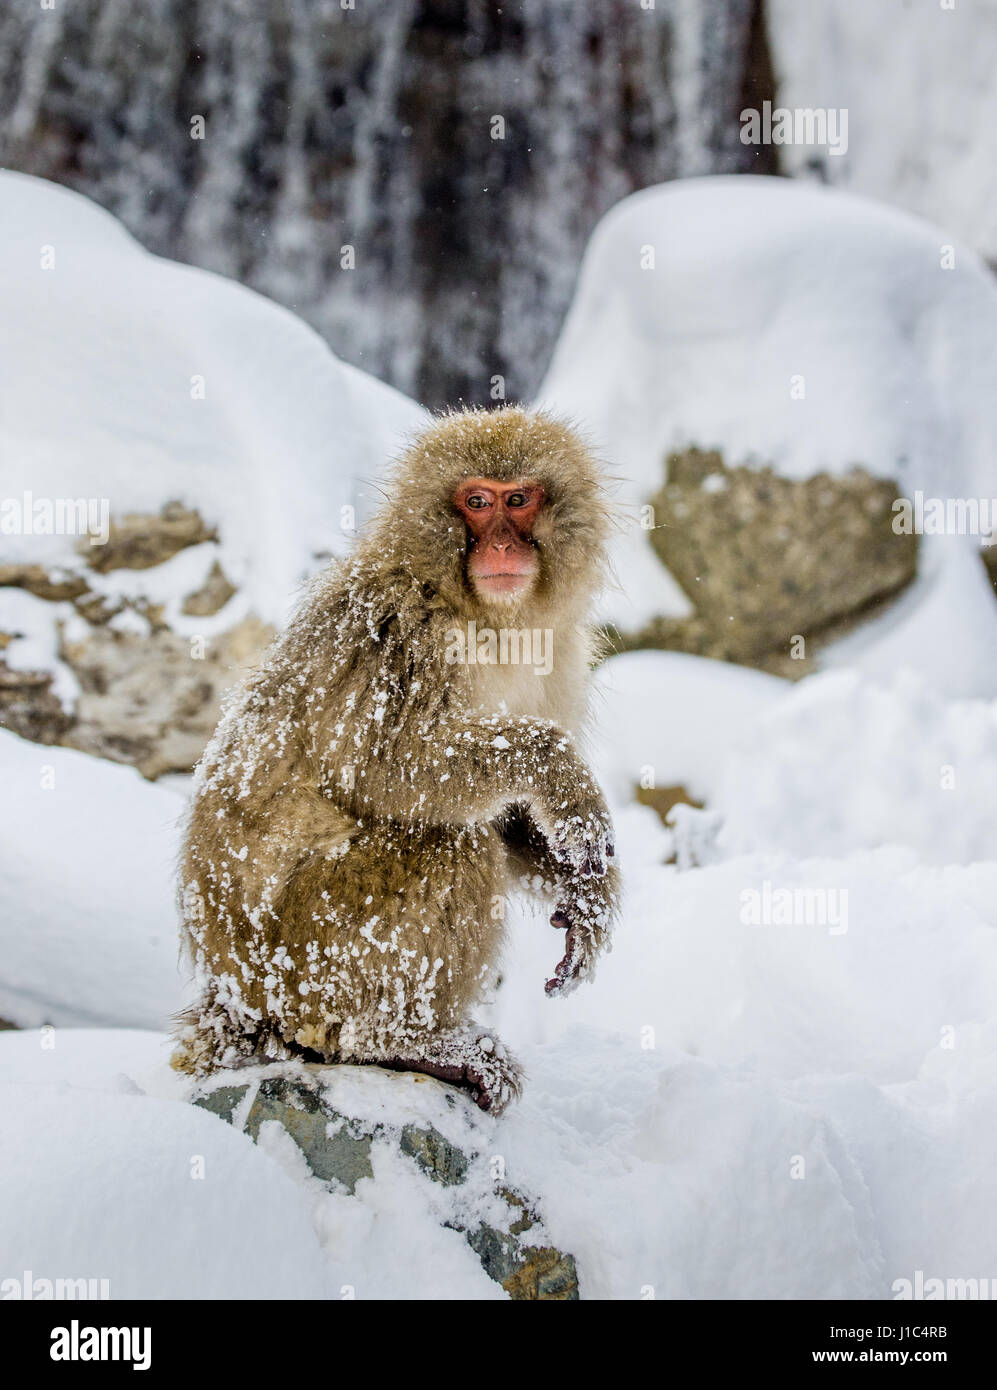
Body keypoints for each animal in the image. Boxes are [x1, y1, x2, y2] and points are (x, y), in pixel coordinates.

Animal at [172, 406, 620, 1113]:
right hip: (306, 955)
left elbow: (510, 816)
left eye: (518, 499)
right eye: (476, 502)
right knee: (445, 844)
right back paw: (397, 1042)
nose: (501, 546)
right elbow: (389, 768)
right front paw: (559, 773)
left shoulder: (558, 656)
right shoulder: (394, 631)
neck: (486, 617)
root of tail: (233, 997)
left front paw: (585, 892)